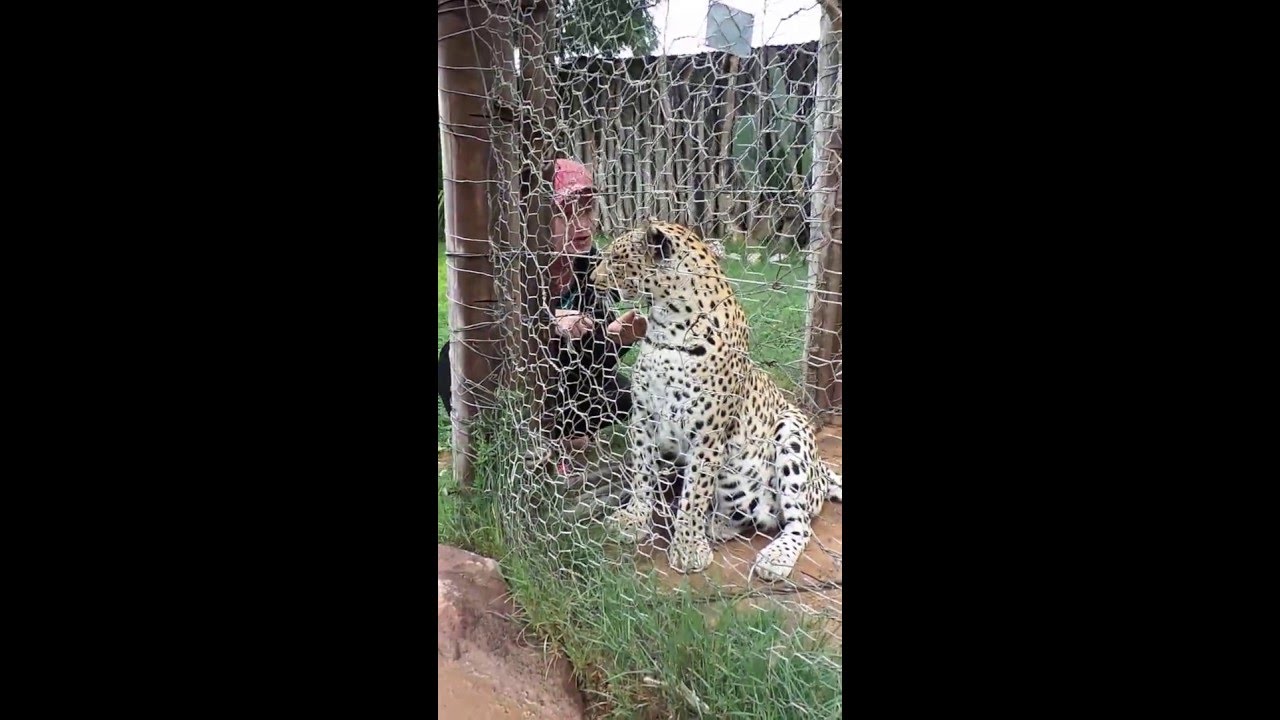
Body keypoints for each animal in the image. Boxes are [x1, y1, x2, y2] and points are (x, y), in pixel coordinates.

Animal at [589, 219, 842, 582]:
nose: (592, 280)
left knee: (799, 523)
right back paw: (719, 525)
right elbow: (642, 473)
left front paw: (687, 548)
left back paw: (774, 558)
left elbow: (695, 491)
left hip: (792, 432)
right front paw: (634, 519)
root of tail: (821, 475)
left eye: (616, 259)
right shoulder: (643, 417)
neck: (667, 326)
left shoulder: (708, 431)